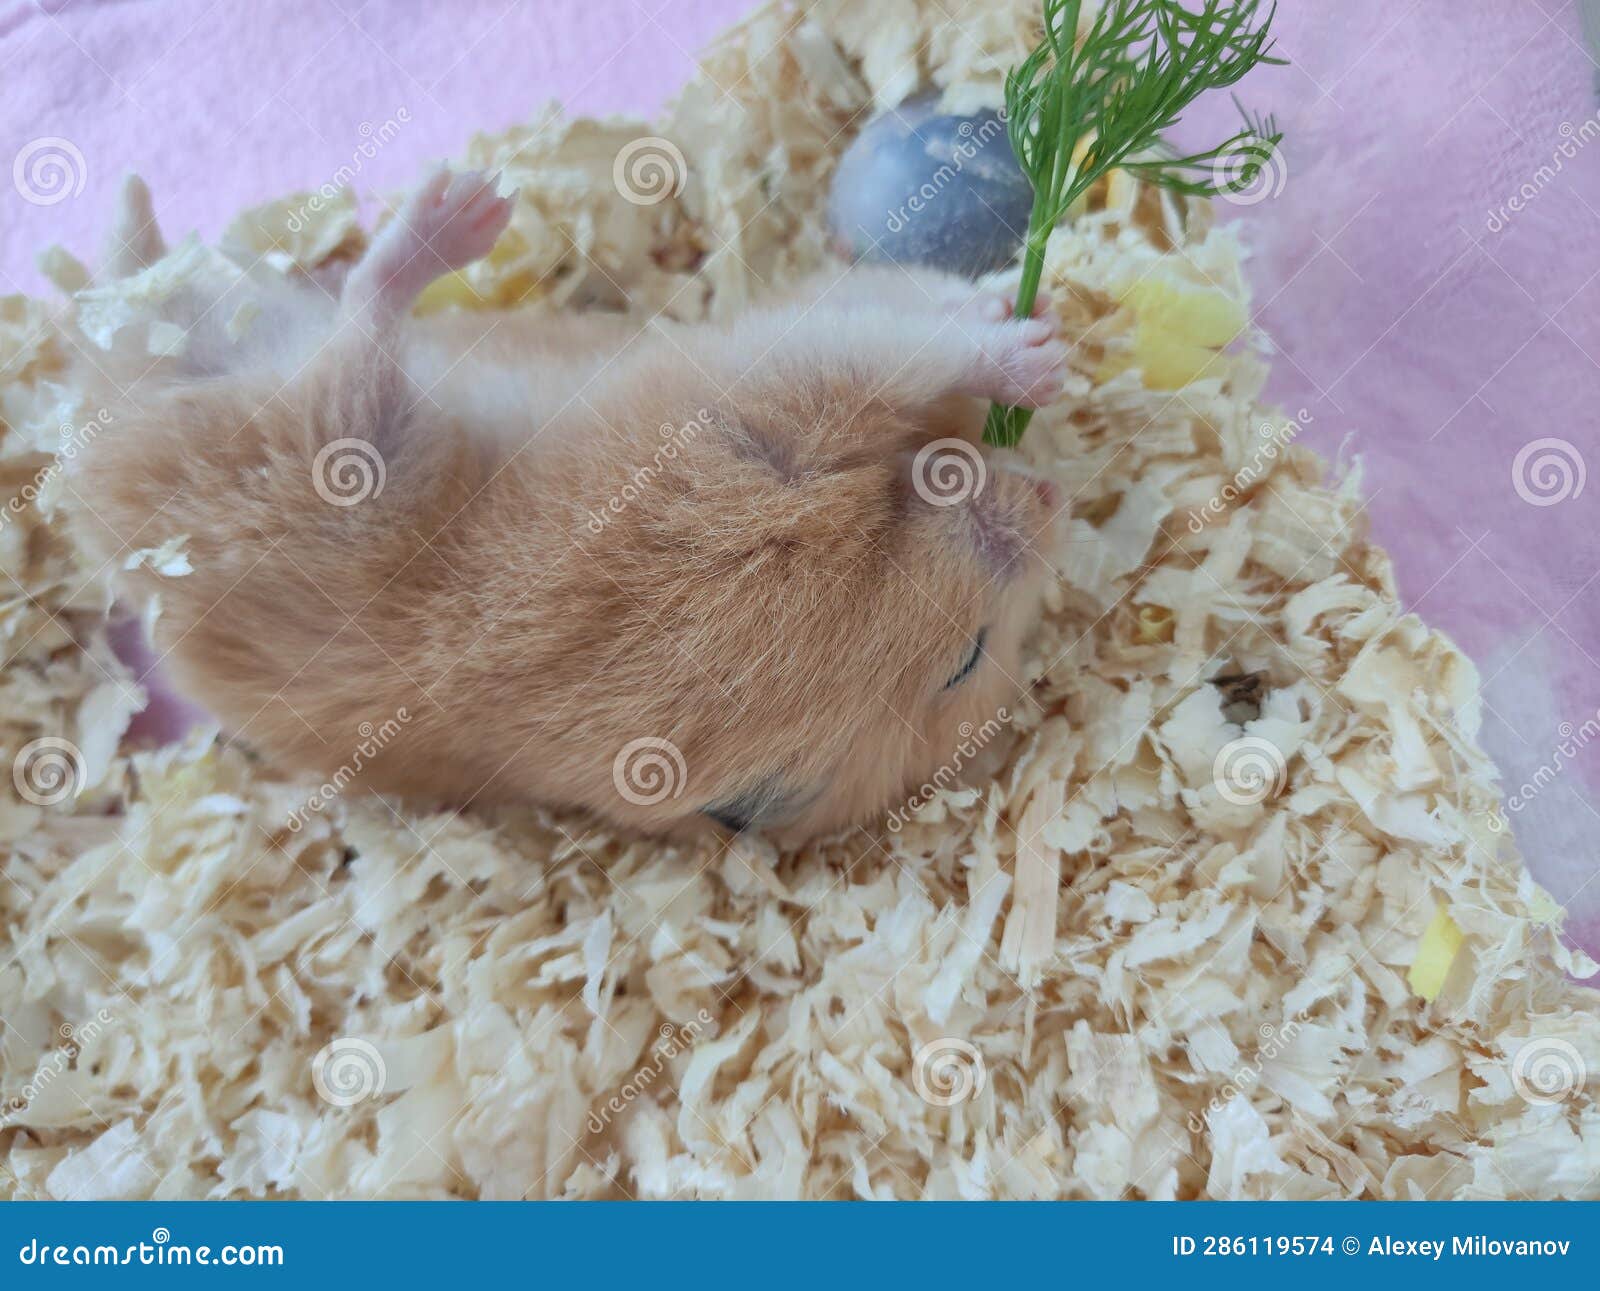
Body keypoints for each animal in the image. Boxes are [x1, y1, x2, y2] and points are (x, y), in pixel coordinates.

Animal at [73, 168, 1066, 844]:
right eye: (968, 658)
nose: (1056, 497)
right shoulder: (778, 406)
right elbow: (905, 337)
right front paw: (1040, 340)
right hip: (347, 460)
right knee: (355, 334)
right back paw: (463, 208)